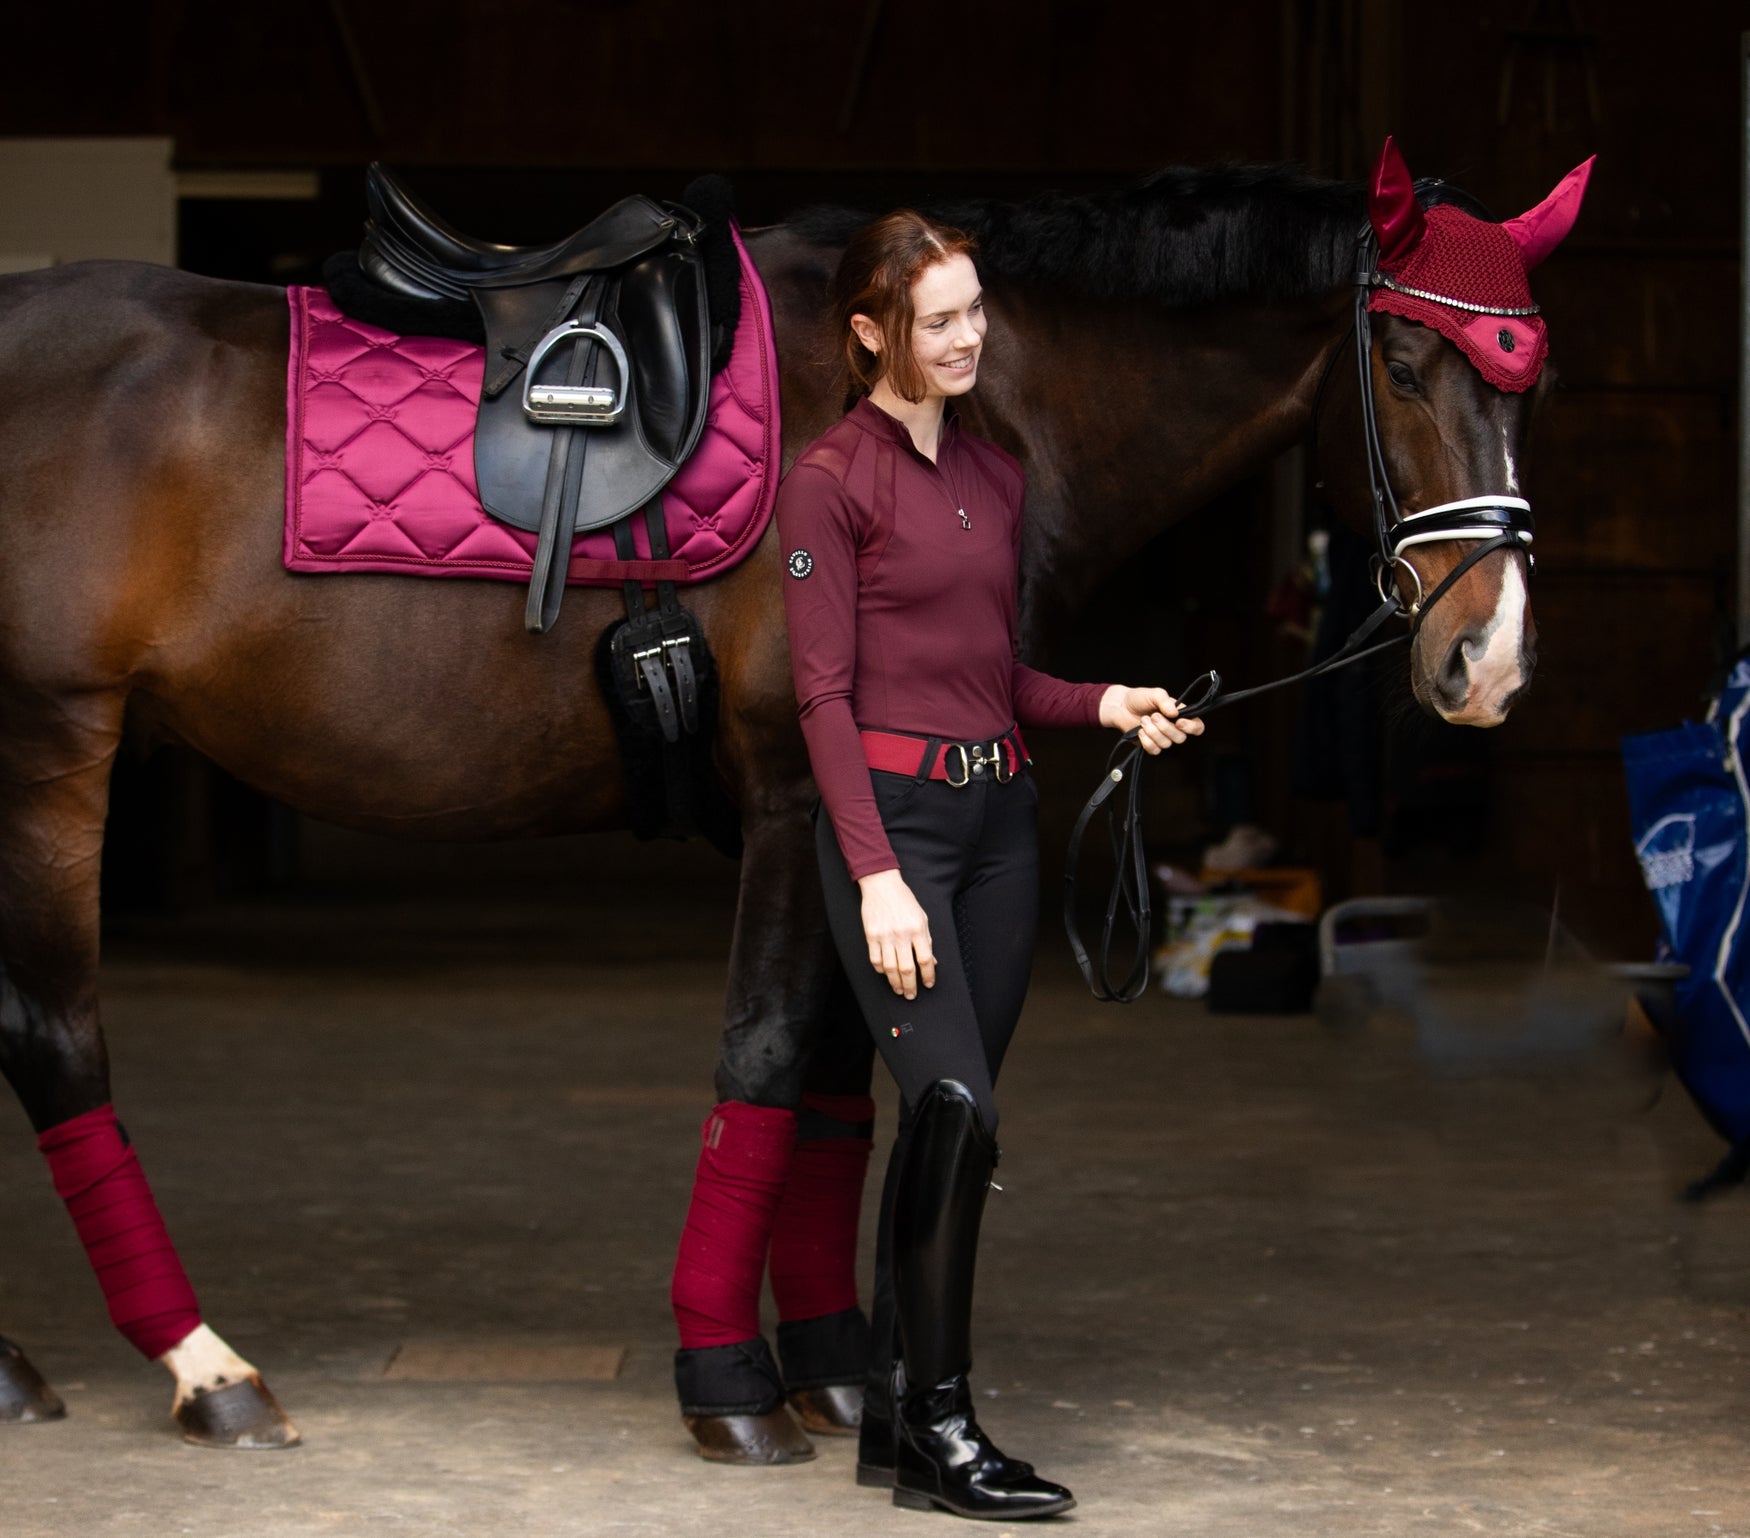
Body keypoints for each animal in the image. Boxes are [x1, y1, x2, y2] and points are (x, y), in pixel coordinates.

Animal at [0, 144, 1584, 1451]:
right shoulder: (794, 795)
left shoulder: (856, 844)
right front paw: (730, 1377)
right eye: (1400, 361)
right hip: (49, 750)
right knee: (54, 1038)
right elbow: (764, 1057)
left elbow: (837, 1077)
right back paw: (203, 1366)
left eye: (1527, 382)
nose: (1490, 658)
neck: (960, 402)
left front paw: (833, 1361)